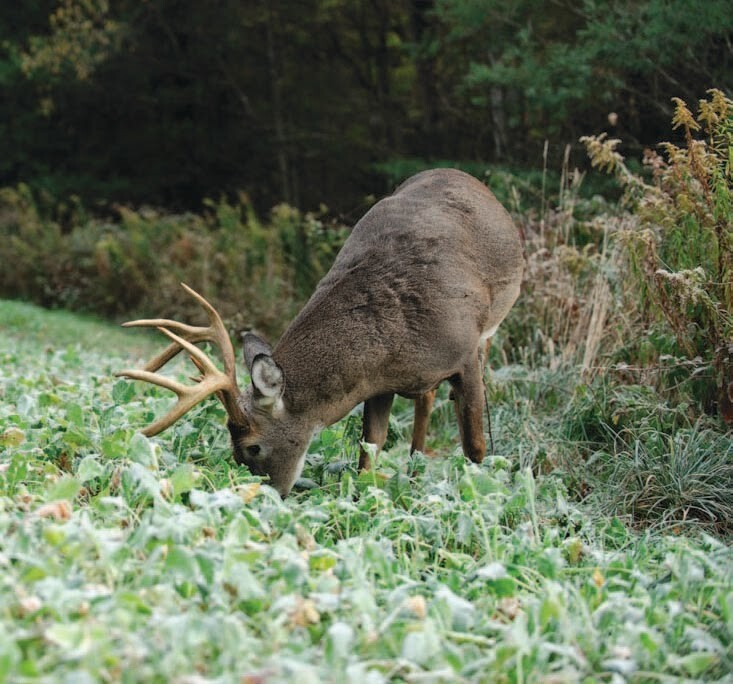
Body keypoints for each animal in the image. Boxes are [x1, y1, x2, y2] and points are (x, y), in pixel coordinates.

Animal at [117, 168, 525, 497]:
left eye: (252, 446)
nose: (271, 495)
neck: (396, 337)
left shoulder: (466, 353)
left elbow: (475, 447)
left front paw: (483, 496)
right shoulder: (380, 382)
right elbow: (368, 450)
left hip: (491, 328)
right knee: (425, 400)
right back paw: (413, 468)